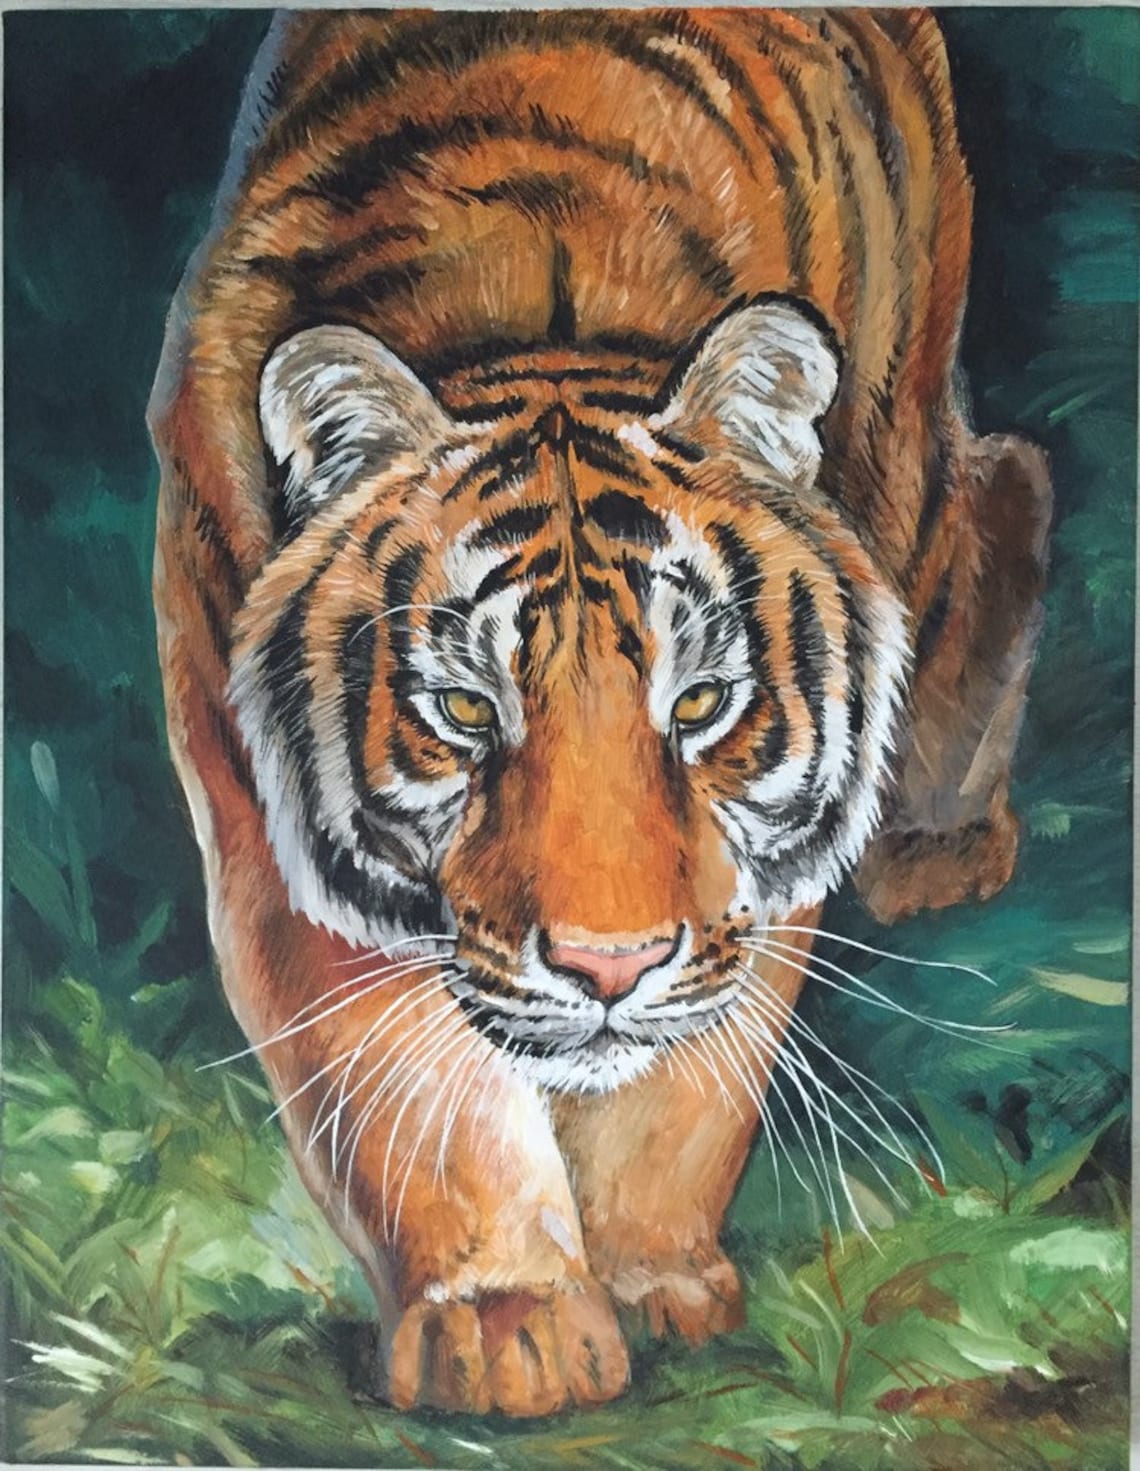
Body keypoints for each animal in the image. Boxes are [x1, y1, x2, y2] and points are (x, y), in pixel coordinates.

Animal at [150, 7, 1052, 1416]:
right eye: (465, 710)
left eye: (702, 702)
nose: (608, 968)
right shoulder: (259, 793)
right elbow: (403, 1071)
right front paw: (504, 1320)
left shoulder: (746, 883)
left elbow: (690, 1076)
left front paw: (650, 1274)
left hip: (904, 414)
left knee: (1003, 483)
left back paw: (939, 845)